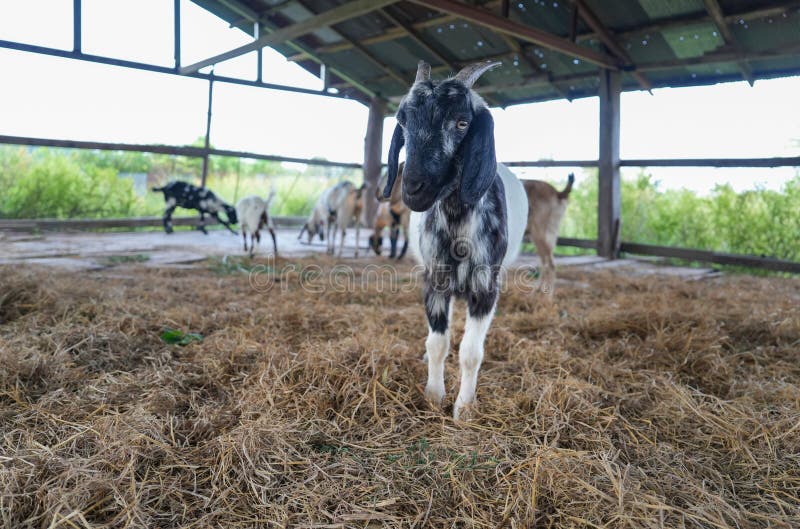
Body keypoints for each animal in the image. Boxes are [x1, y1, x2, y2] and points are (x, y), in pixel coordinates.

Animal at [383, 60, 528, 420]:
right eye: (402, 121)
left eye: (462, 122)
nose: (413, 188)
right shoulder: (434, 280)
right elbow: (437, 342)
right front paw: (434, 395)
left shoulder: (486, 287)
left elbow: (471, 351)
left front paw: (464, 407)